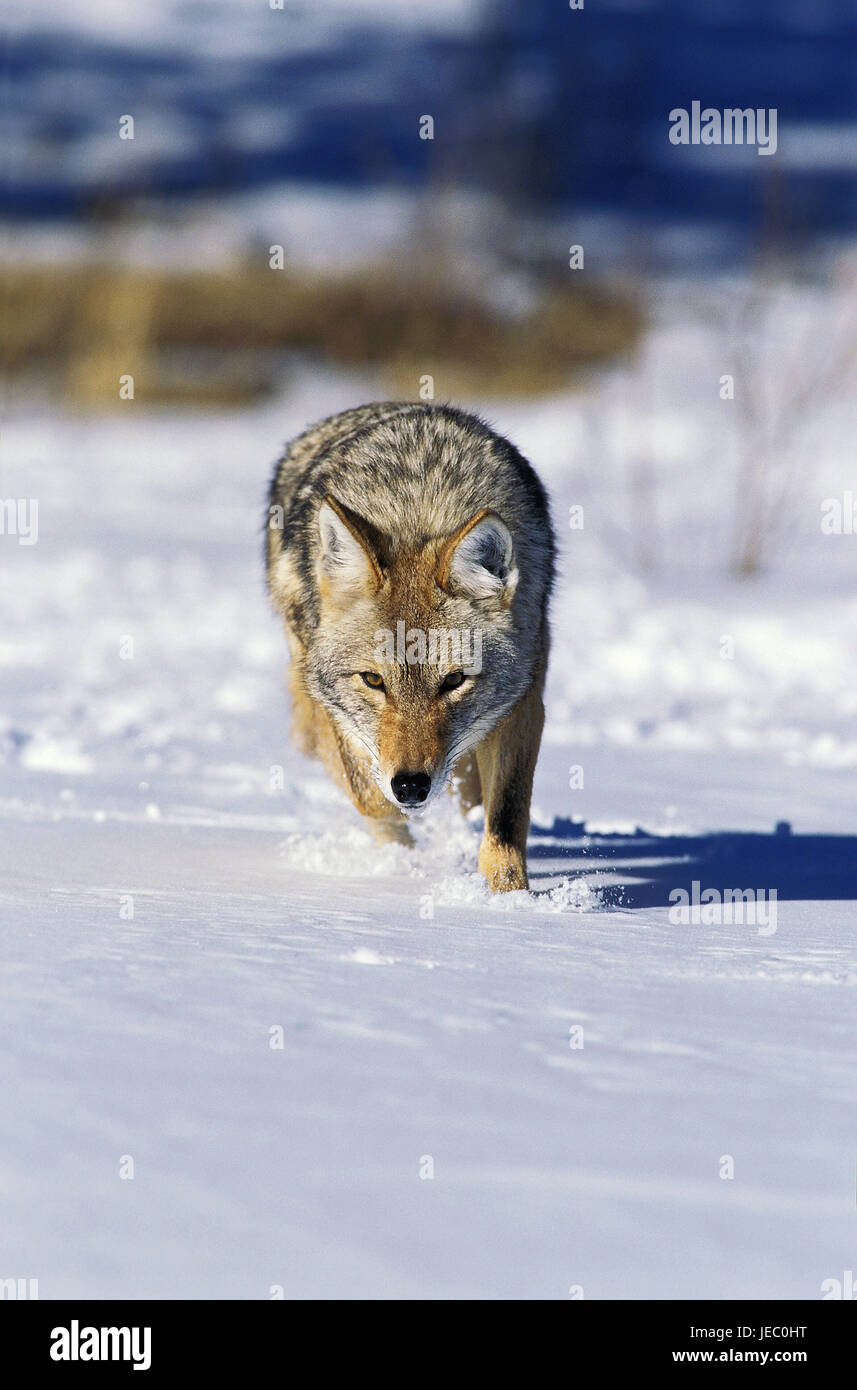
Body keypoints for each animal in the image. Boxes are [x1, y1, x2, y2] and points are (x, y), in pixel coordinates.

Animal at [265, 402, 555, 891]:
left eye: (454, 680)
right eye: (373, 680)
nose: (411, 786)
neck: (416, 513)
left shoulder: (523, 700)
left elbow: (506, 816)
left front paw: (506, 896)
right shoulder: (342, 720)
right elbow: (368, 794)